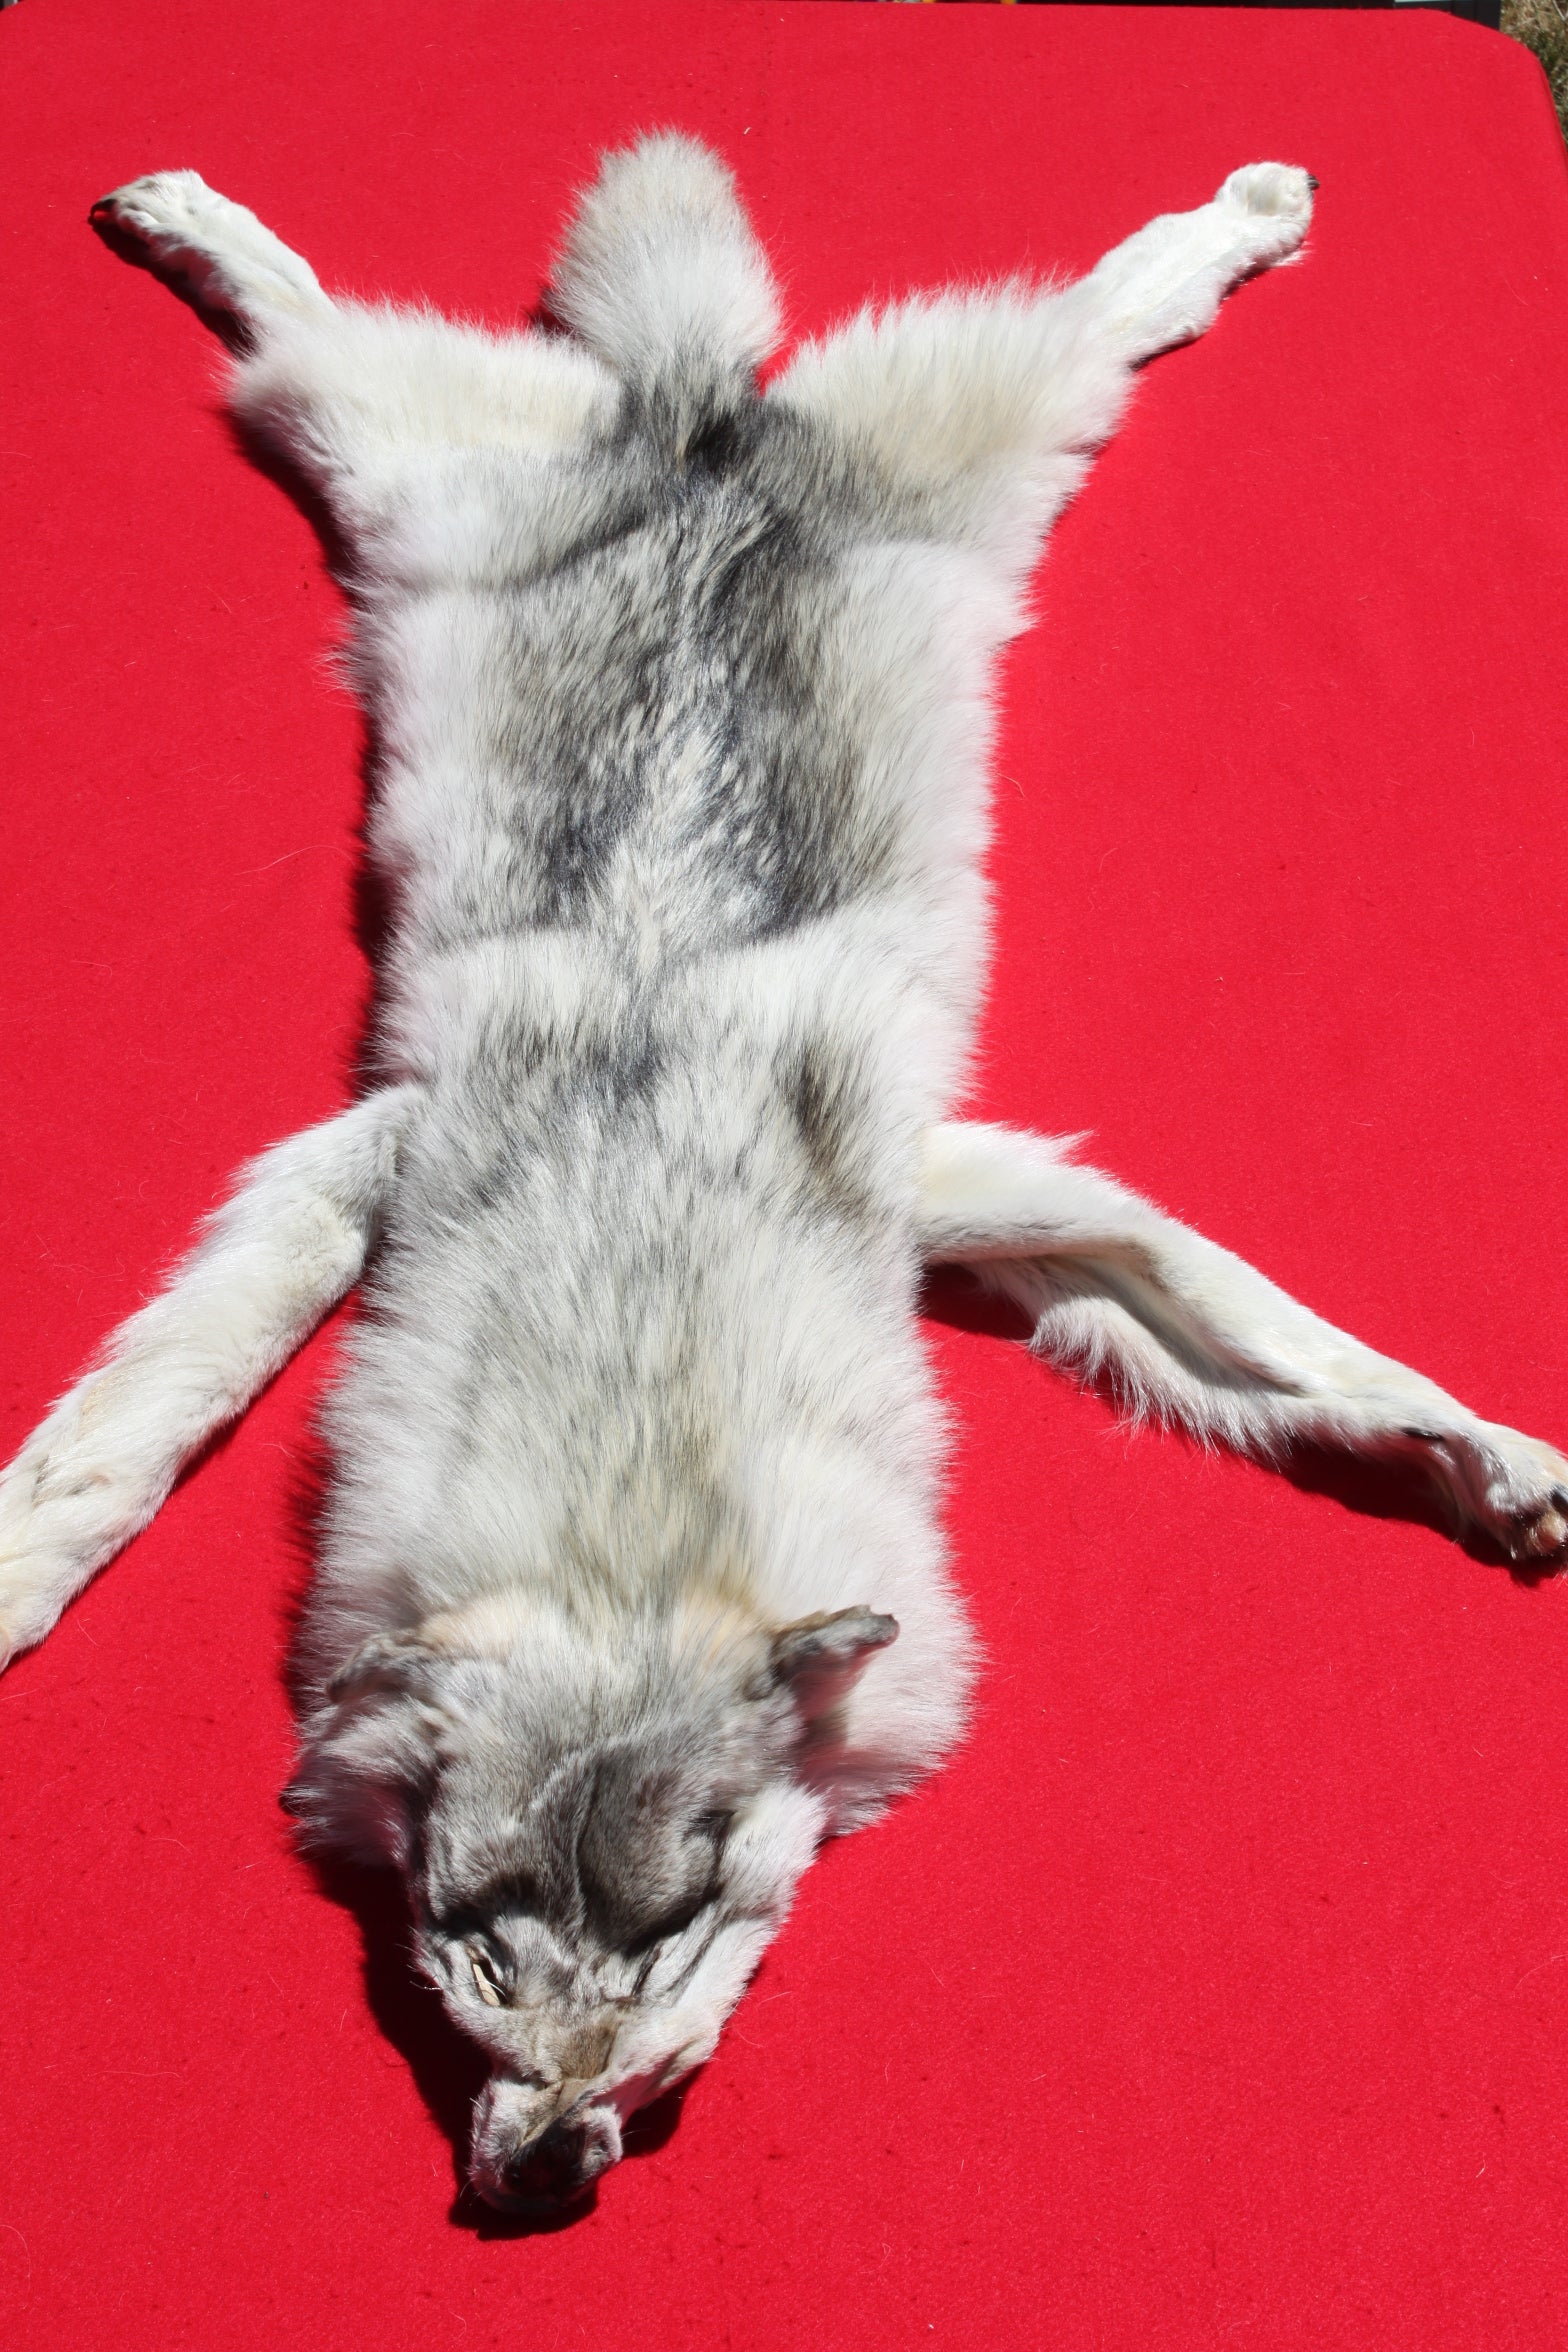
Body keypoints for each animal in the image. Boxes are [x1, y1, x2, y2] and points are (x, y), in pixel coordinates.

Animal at [3, 136, 1563, 2214]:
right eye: (469, 1936)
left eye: (676, 1923)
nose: (541, 2168)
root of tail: (693, 421)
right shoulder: (363, 1161)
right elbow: (122, 1436)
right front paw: (18, 1568)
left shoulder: (974, 1187)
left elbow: (1298, 1347)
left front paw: (1490, 1458)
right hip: (392, 444)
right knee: (301, 312)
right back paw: (188, 219)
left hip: (990, 418)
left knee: (1116, 296)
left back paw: (1241, 217)